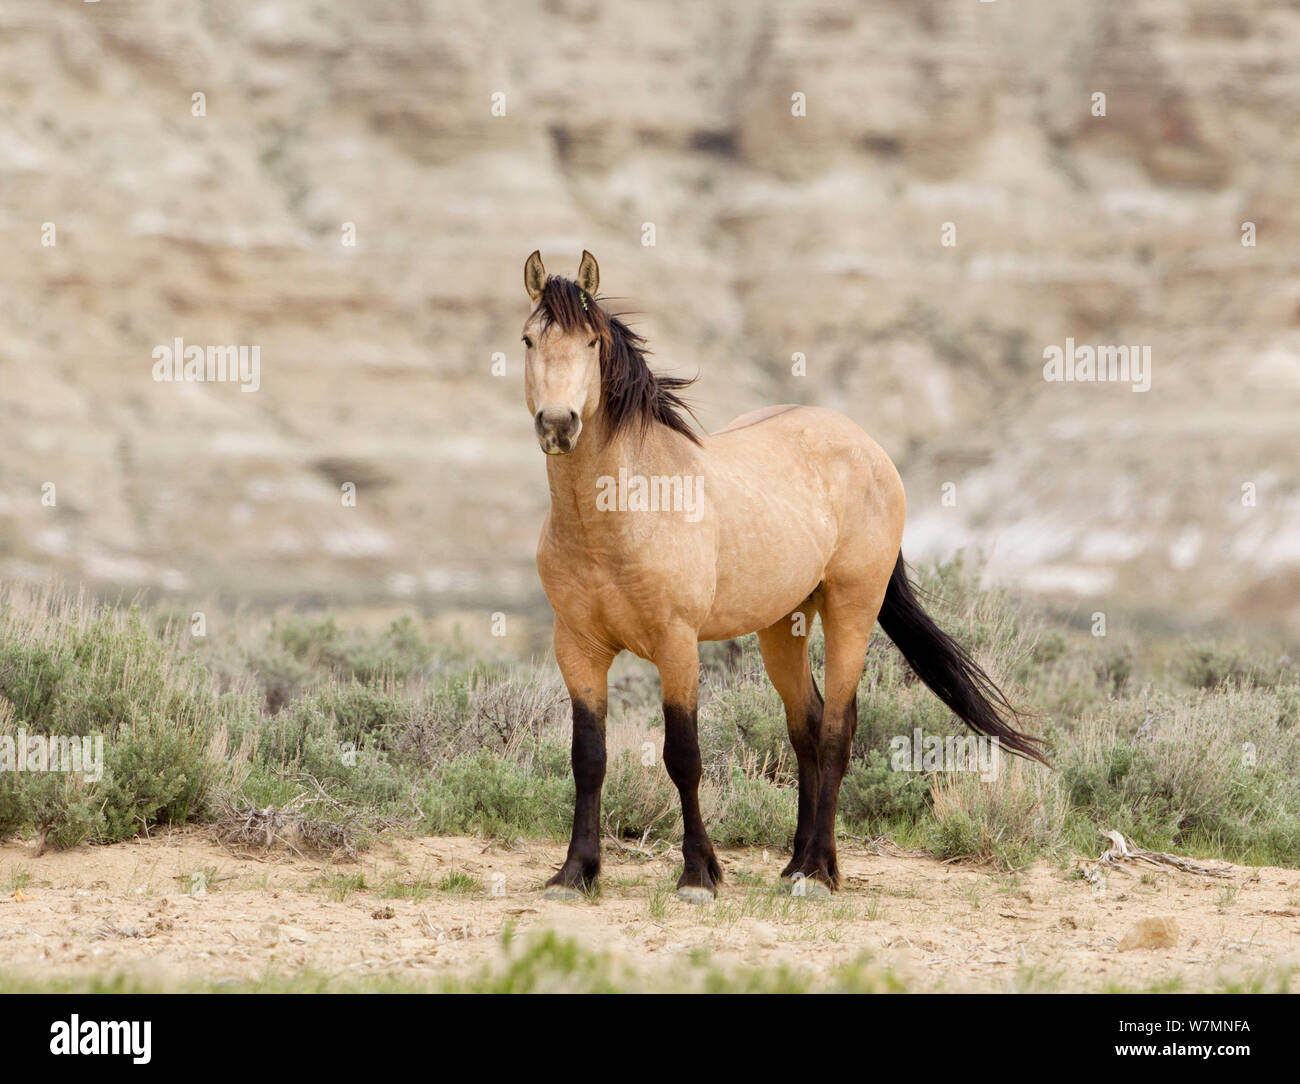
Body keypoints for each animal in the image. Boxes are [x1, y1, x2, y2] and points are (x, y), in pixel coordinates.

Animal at [521, 249, 1049, 902]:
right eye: (528, 340)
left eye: (591, 342)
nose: (558, 424)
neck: (621, 513)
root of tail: (869, 449)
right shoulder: (579, 649)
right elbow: (587, 758)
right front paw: (575, 872)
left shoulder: (677, 645)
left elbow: (683, 756)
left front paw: (698, 874)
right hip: (783, 625)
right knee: (806, 727)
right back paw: (796, 862)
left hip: (851, 609)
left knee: (837, 730)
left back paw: (818, 871)